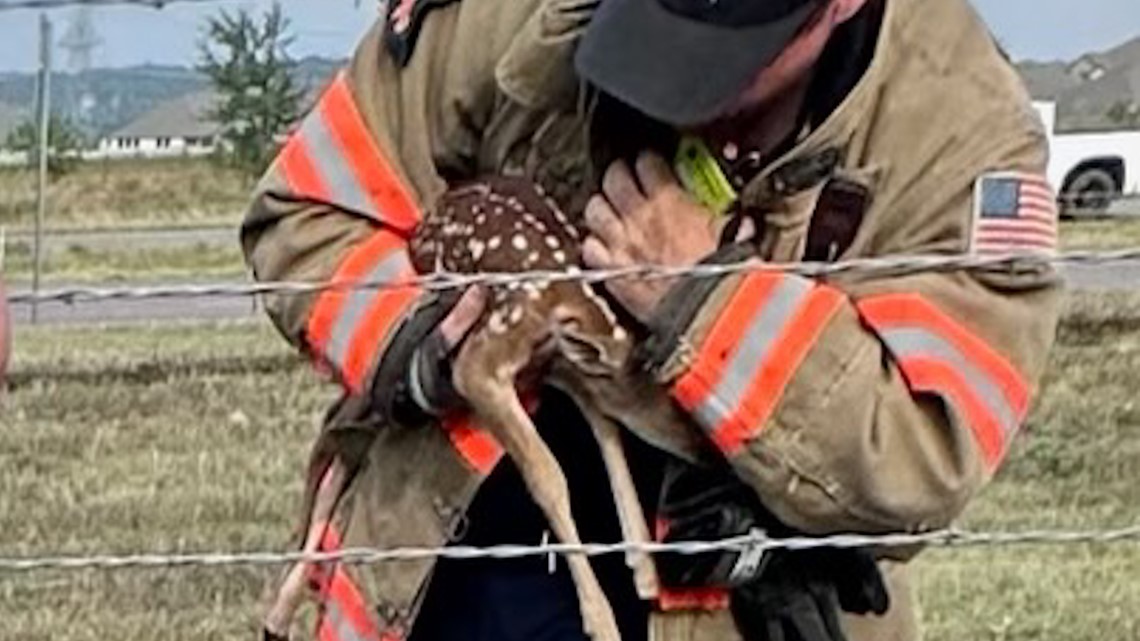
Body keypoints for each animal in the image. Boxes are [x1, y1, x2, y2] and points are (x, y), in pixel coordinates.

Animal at [263, 175, 660, 641]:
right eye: (660, 398)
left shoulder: (560, 370)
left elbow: (607, 435)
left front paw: (645, 569)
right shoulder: (482, 360)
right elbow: (548, 475)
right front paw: (602, 621)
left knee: (343, 434)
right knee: (337, 427)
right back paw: (280, 605)